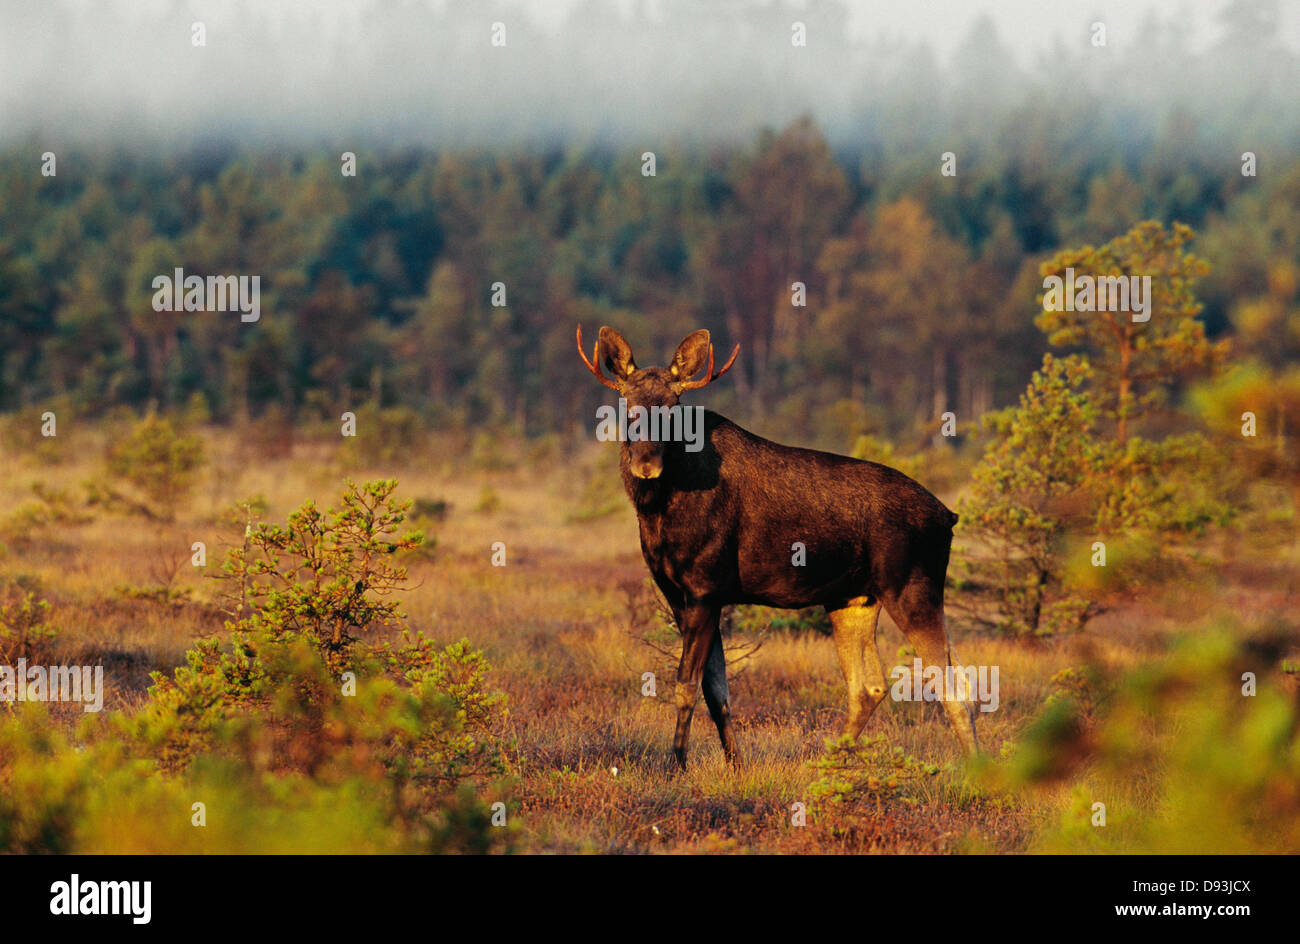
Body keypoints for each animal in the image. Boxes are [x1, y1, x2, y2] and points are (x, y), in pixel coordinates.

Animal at [578, 324, 979, 770]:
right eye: (628, 406)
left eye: (672, 407)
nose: (646, 462)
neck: (656, 510)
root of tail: (948, 517)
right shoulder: (680, 593)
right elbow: (716, 692)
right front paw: (735, 765)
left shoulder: (704, 588)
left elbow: (686, 687)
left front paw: (676, 765)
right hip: (853, 598)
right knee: (869, 685)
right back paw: (826, 763)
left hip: (912, 587)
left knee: (955, 685)